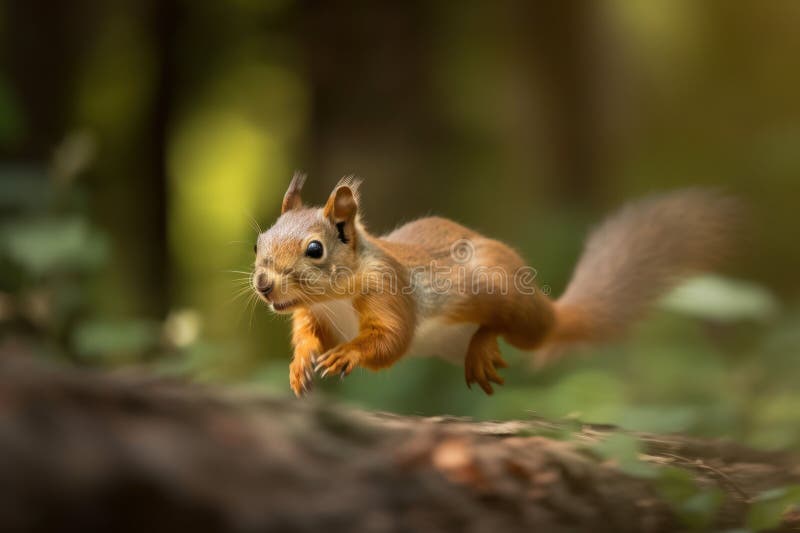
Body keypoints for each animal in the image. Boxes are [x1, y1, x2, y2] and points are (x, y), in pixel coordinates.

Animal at [252, 173, 738, 397]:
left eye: (315, 249)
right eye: (259, 241)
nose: (263, 284)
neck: (335, 298)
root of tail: (551, 310)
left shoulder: (390, 291)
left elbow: (391, 339)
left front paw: (348, 354)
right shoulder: (315, 315)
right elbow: (309, 336)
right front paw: (300, 363)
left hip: (506, 298)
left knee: (509, 326)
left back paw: (484, 345)